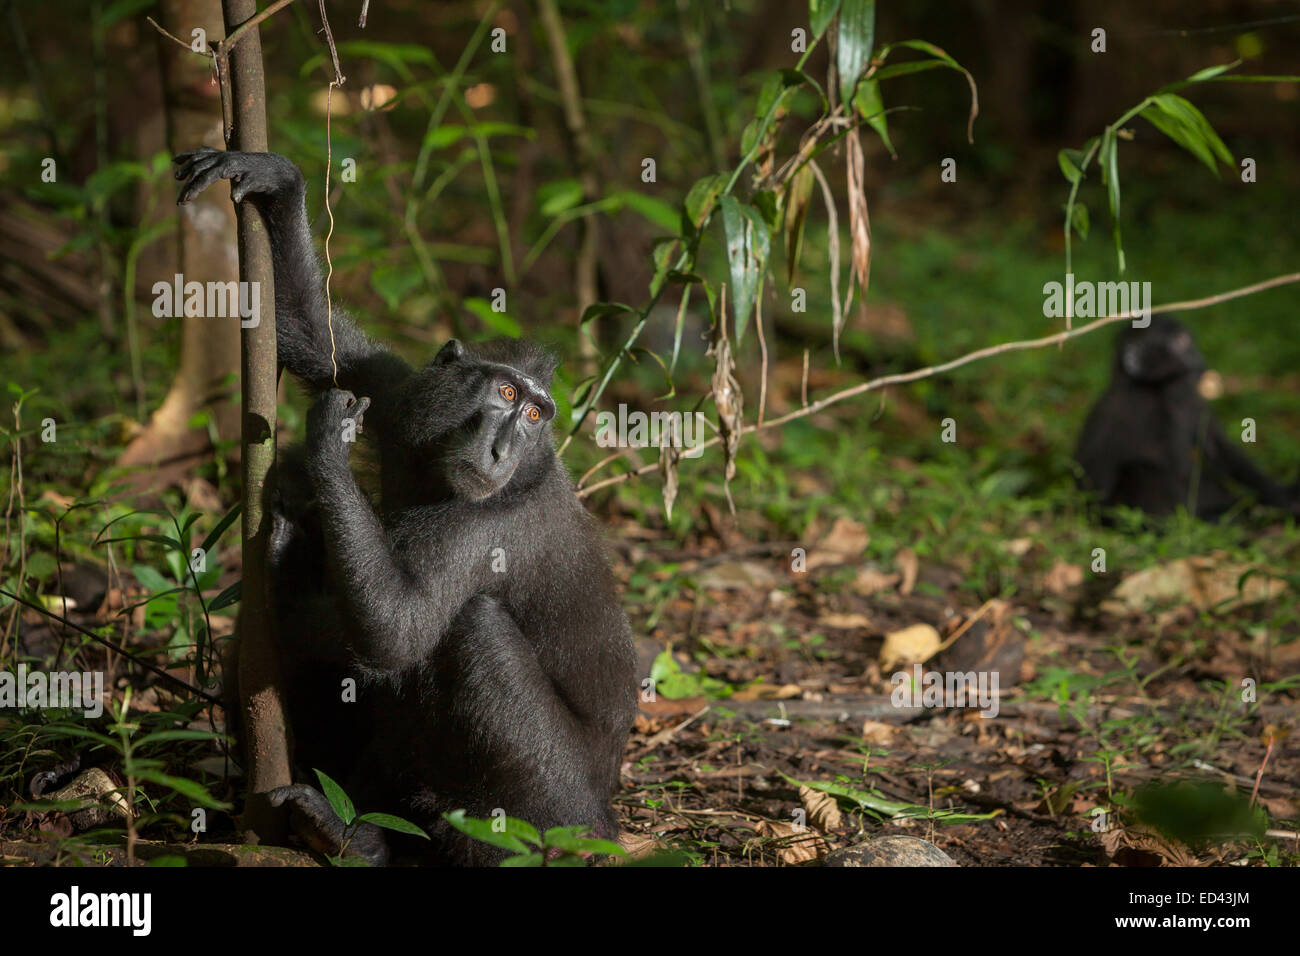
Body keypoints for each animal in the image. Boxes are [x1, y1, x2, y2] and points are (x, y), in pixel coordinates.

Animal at [173, 147, 637, 865]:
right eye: (505, 392)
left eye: (536, 415)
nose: (503, 447)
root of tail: (609, 816)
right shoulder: (401, 395)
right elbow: (317, 339)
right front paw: (275, 177)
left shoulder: (493, 525)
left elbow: (397, 627)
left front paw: (325, 453)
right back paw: (353, 831)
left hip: (562, 803)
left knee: (471, 633)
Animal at [1075, 314, 1298, 520]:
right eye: (1180, 342)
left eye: (1187, 340)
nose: (1197, 357)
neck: (1160, 390)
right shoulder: (1132, 407)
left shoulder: (1193, 402)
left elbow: (1218, 449)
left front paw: (1280, 497)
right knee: (1141, 471)